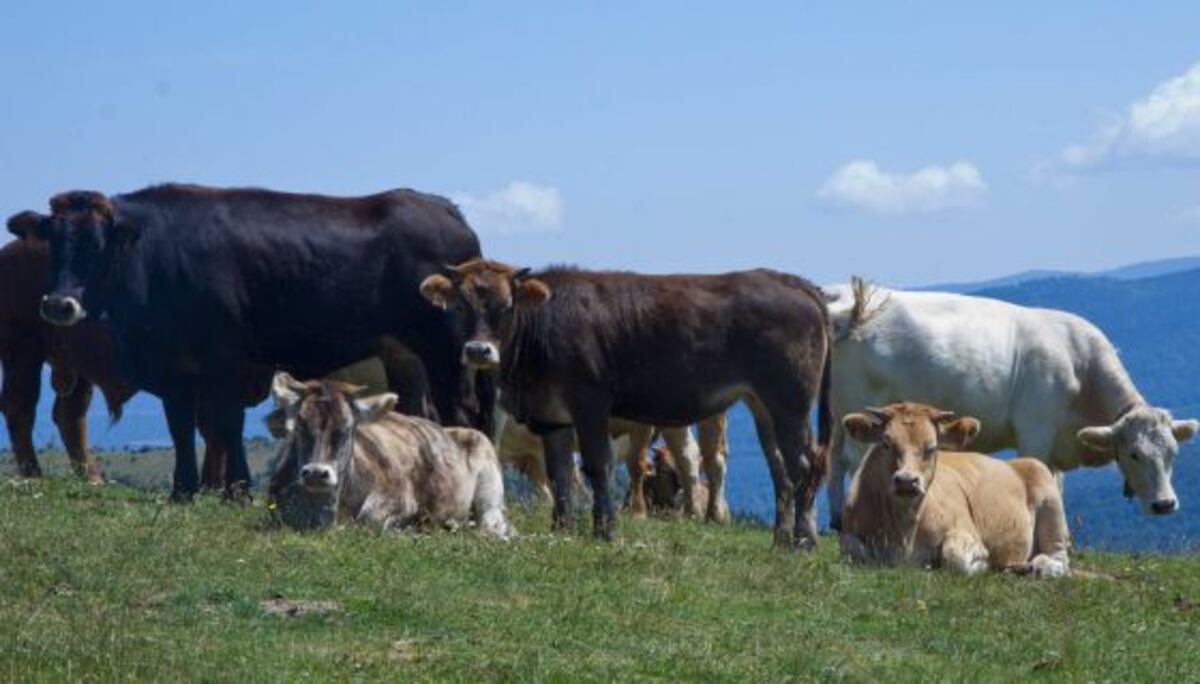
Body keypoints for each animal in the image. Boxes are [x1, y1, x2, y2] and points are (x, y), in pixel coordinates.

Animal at [11, 184, 490, 499]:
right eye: (52, 242)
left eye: (97, 246)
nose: (59, 305)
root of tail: (443, 209)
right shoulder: (173, 366)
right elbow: (181, 426)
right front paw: (183, 491)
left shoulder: (224, 358)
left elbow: (225, 423)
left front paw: (236, 490)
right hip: (402, 354)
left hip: (447, 350)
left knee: (461, 412)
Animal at [266, 373, 513, 538]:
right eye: (300, 425)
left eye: (347, 428)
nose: (316, 472)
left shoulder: (401, 497)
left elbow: (370, 518)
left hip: (489, 485)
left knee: (491, 524)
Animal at [496, 410, 731, 521]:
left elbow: (636, 465)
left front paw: (637, 513)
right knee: (688, 455)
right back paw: (693, 512)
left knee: (711, 459)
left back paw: (712, 515)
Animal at [824, 278, 1198, 529]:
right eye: (1134, 454)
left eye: (1173, 454)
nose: (1165, 504)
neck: (1081, 367)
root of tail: (848, 298)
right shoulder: (1036, 430)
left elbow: (1056, 487)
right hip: (864, 406)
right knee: (854, 462)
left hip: (841, 414)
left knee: (834, 461)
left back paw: (837, 519)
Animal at [839, 402, 1071, 578]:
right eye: (886, 443)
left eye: (931, 447)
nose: (906, 481)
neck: (904, 533)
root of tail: (1013, 462)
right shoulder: (849, 533)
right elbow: (853, 550)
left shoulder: (967, 533)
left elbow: (955, 559)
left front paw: (983, 565)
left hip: (1047, 492)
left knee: (1060, 559)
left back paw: (1039, 567)